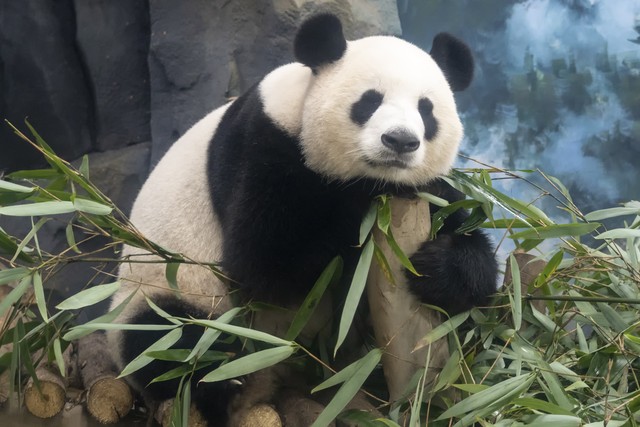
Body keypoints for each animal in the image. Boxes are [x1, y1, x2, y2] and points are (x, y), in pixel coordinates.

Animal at [107, 12, 497, 426]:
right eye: (369, 101)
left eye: (426, 110)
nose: (400, 141)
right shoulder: (263, 147)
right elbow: (267, 264)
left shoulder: (429, 194)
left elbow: (466, 250)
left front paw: (437, 267)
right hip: (166, 292)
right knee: (170, 340)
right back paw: (226, 383)